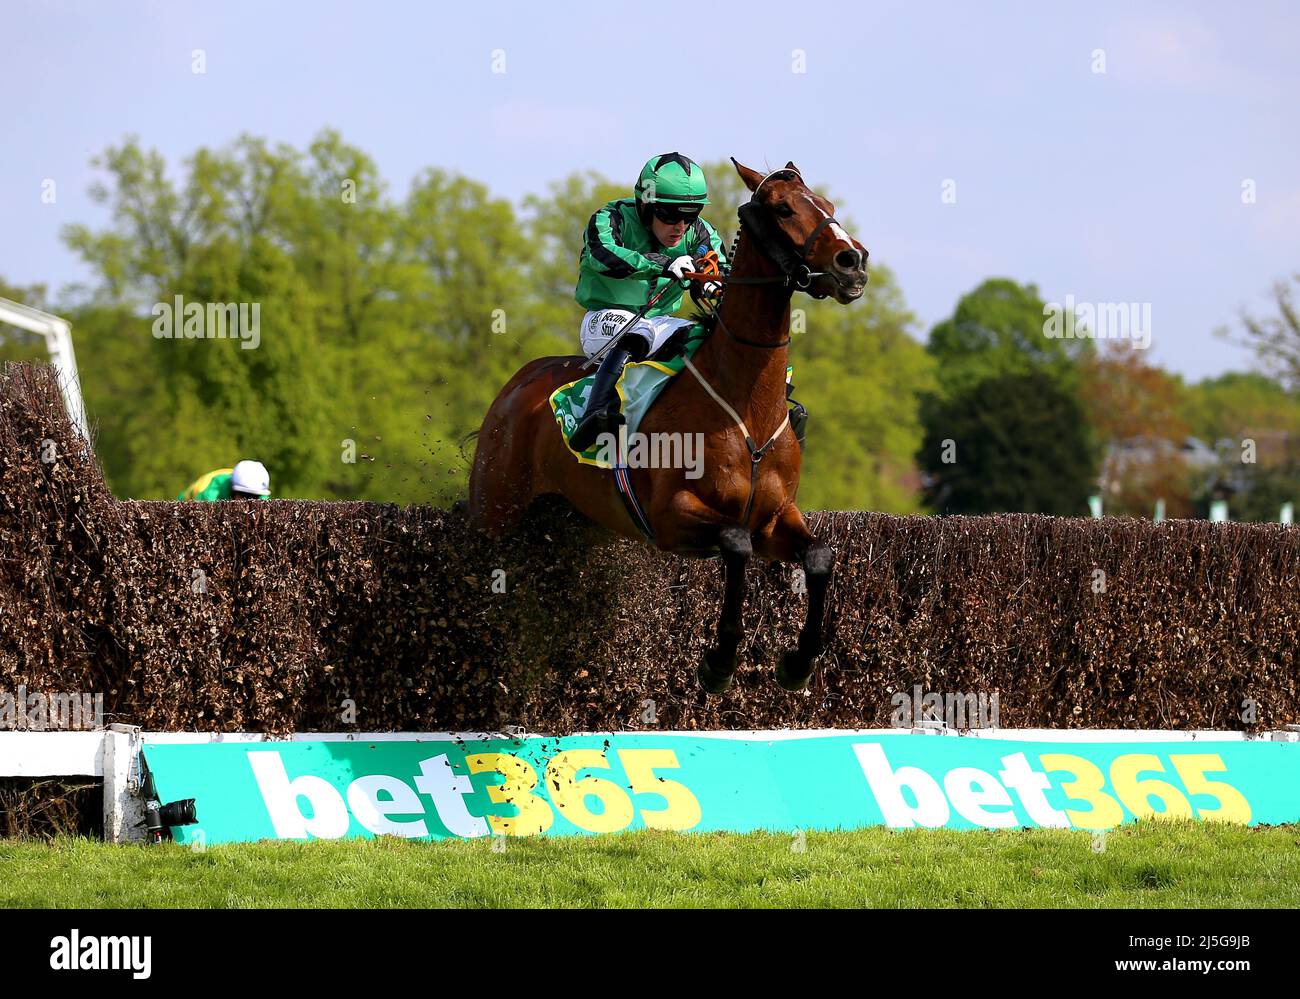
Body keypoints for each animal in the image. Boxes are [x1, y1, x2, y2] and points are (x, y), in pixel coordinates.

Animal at [467, 158, 868, 692]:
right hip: (494, 513)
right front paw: (719, 661)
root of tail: (516, 386)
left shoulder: (775, 518)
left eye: (828, 205)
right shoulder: (670, 517)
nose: (853, 261)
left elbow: (820, 557)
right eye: (784, 208)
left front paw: (798, 662)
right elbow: (735, 543)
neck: (745, 406)